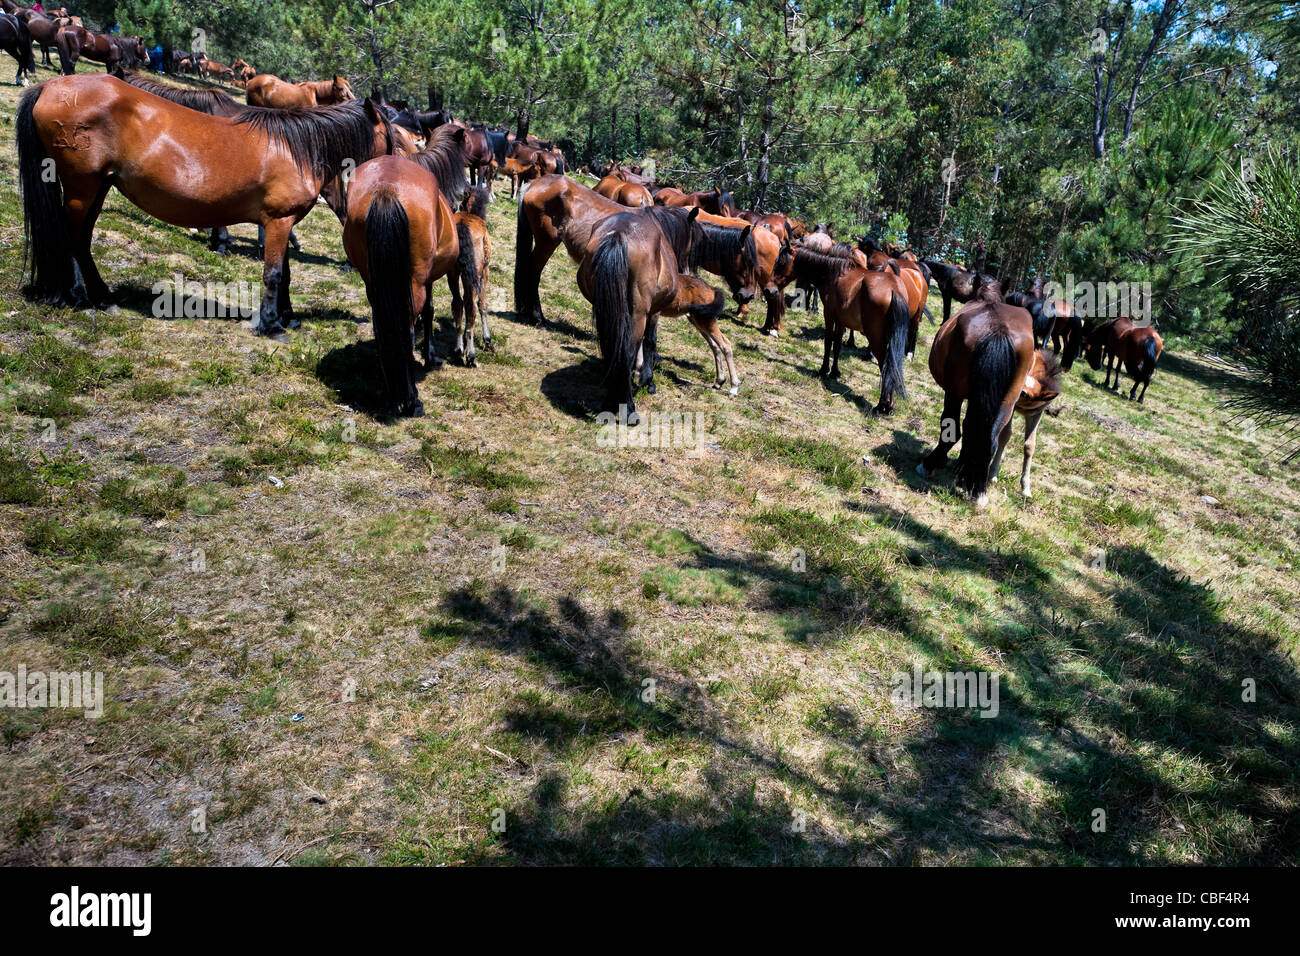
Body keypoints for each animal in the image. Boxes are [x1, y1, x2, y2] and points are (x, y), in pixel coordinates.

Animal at [18, 73, 395, 334]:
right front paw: (271, 325)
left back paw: (98, 296)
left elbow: (285, 274)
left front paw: (287, 319)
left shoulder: (282, 223)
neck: (296, 147)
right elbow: (274, 274)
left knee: (80, 240)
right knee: (74, 239)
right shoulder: (277, 221)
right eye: (391, 138)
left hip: (96, 189)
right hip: (82, 188)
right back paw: (84, 297)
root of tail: (50, 86)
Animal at [340, 125, 470, 416]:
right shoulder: (428, 279)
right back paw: (409, 399)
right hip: (414, 283)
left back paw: (391, 393)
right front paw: (430, 356)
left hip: (374, 281)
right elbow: (429, 311)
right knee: (406, 330)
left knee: (383, 327)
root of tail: (386, 188)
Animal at [513, 173, 759, 327]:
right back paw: (537, 317)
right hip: (547, 242)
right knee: (533, 273)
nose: (748, 296)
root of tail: (534, 185)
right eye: (747, 261)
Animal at [790, 246, 912, 415]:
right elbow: (837, 345)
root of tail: (894, 289)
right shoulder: (841, 321)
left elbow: (828, 342)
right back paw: (889, 406)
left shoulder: (829, 315)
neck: (834, 272)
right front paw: (834, 372)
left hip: (875, 339)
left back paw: (882, 405)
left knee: (886, 366)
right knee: (894, 367)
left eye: (782, 255)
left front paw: (823, 370)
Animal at [917, 275, 1040, 506]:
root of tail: (999, 328)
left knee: (953, 430)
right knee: (989, 439)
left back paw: (930, 464)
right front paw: (964, 470)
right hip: (1007, 402)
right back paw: (978, 488)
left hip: (954, 393)